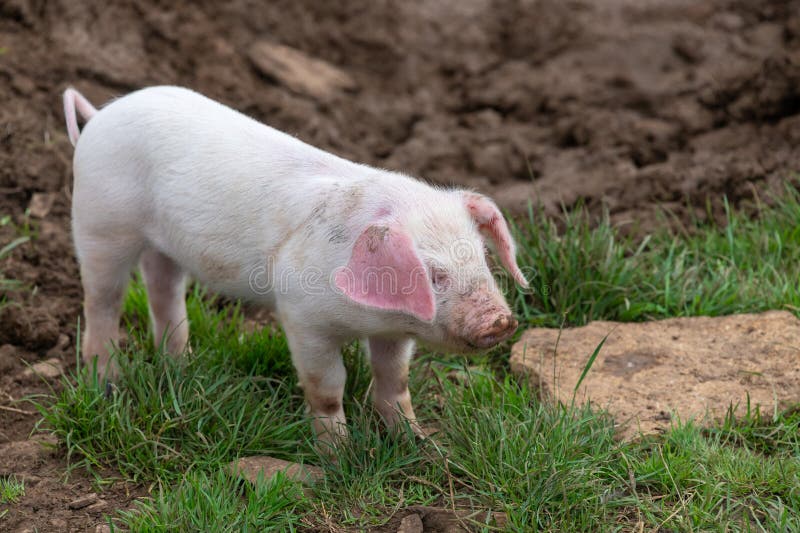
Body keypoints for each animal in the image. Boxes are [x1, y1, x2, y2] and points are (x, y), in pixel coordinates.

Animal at [63, 85, 528, 444]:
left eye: (482, 257)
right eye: (434, 275)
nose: (499, 320)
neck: (371, 317)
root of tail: (99, 116)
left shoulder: (394, 333)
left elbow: (395, 381)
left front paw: (420, 443)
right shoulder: (302, 317)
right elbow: (328, 388)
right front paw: (339, 456)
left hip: (164, 247)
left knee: (164, 292)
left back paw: (181, 365)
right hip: (99, 222)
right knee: (103, 302)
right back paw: (106, 383)